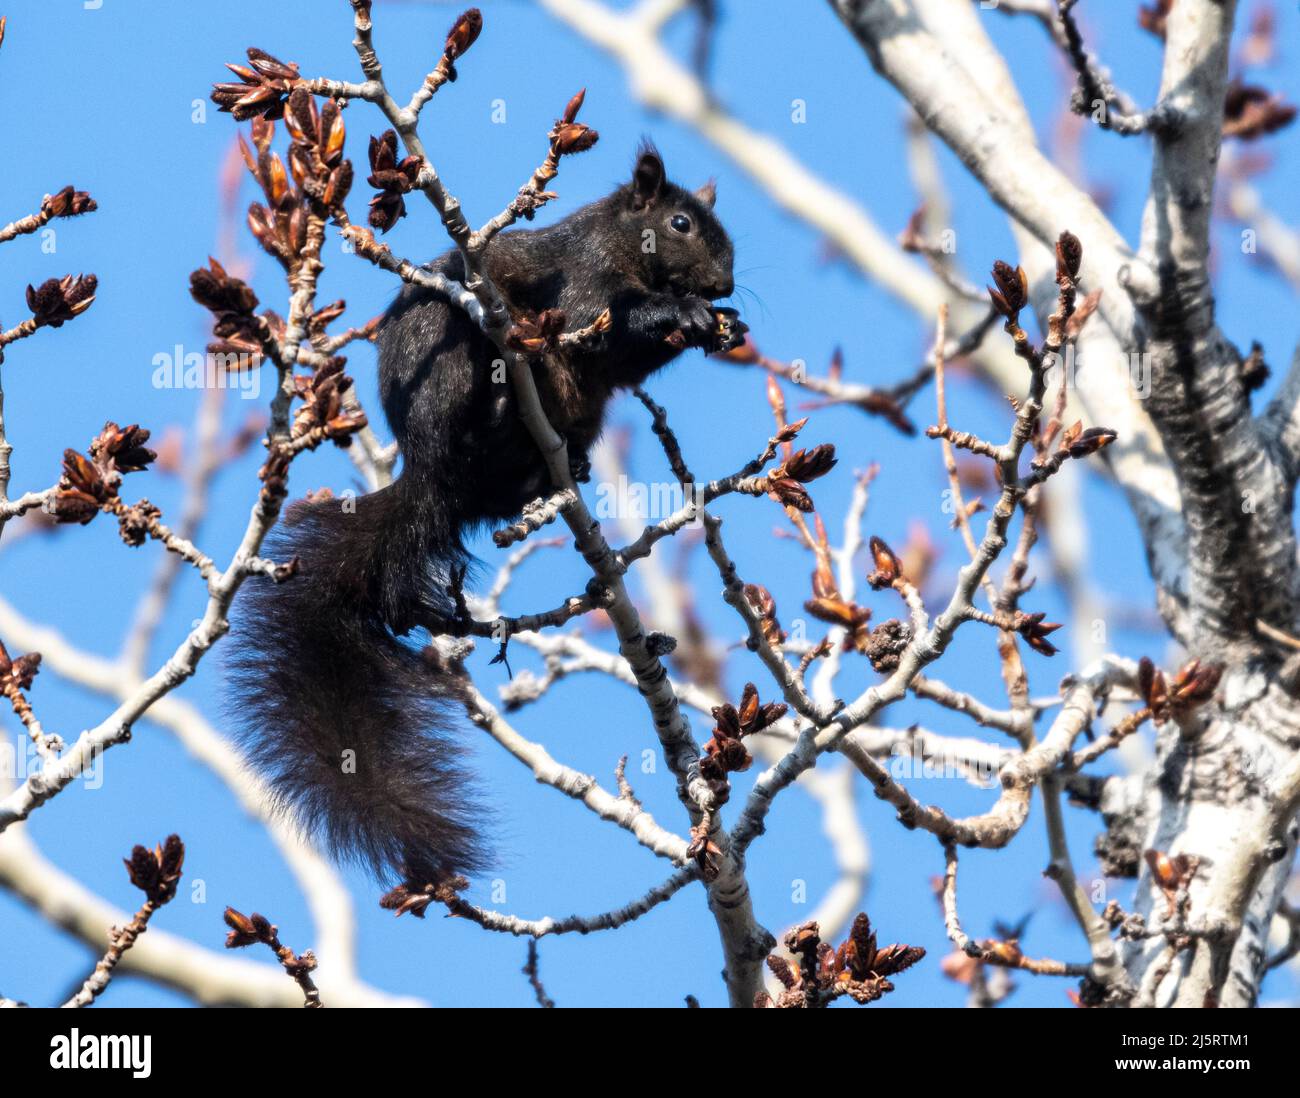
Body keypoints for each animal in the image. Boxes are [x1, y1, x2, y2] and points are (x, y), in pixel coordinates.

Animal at [229, 146, 742, 887]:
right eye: (680, 223)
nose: (726, 285)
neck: (623, 246)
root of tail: (429, 473)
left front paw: (718, 323)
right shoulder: (581, 283)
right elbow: (601, 322)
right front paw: (688, 312)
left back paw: (558, 471)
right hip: (449, 363)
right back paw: (498, 409)